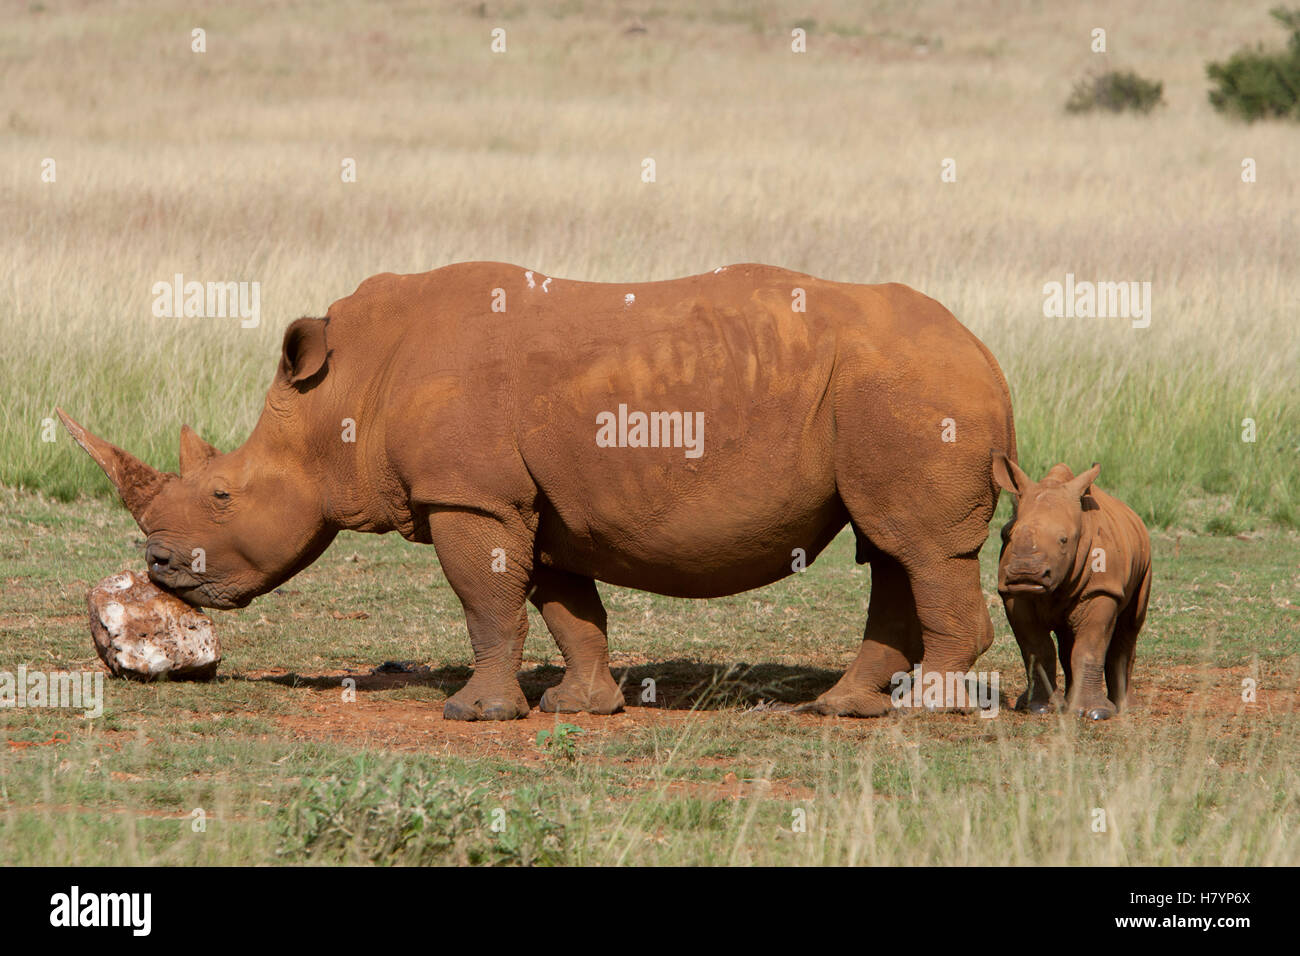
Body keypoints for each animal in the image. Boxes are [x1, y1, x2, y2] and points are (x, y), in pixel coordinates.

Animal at [60, 261, 1016, 721]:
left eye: (224, 495)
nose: (159, 567)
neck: (345, 390)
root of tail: (987, 358)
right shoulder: (539, 503)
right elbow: (566, 608)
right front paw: (578, 706)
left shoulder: (470, 496)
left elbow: (487, 604)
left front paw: (473, 714)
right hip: (892, 393)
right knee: (889, 546)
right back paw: (844, 708)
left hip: (911, 392)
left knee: (919, 547)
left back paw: (923, 712)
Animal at [992, 453, 1152, 719]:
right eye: (1007, 535)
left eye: (1064, 540)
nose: (1026, 573)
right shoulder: (1014, 594)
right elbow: (1037, 649)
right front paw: (1039, 708)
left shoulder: (1102, 589)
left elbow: (1089, 648)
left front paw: (1095, 713)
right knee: (1067, 640)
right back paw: (1068, 703)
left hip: (1145, 557)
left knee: (1129, 628)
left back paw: (1125, 708)